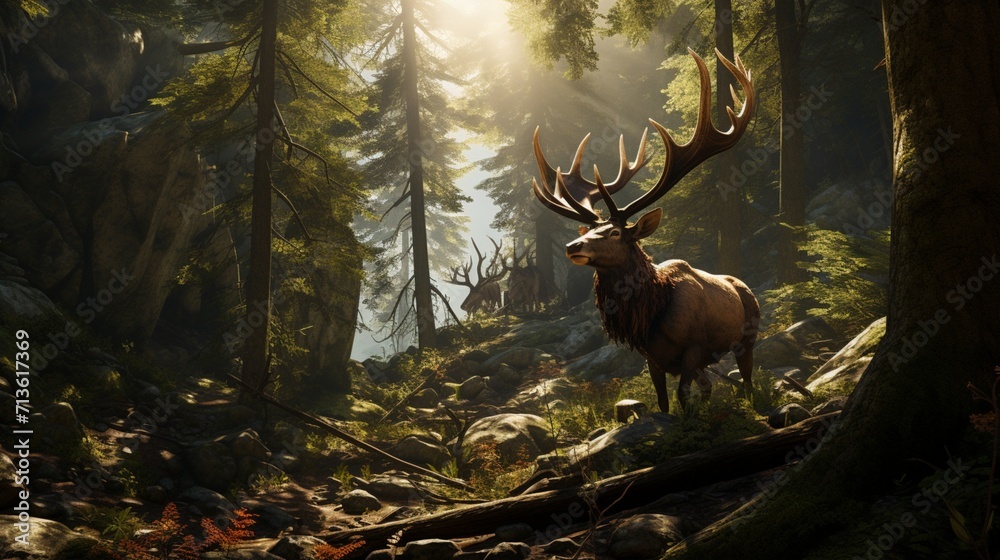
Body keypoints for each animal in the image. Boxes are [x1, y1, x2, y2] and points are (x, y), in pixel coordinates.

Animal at [531, 49, 759, 414]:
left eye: (615, 233)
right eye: (591, 229)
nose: (572, 246)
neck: (652, 315)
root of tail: (745, 286)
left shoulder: (694, 348)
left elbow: (682, 397)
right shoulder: (652, 358)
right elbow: (664, 403)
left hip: (748, 336)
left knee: (748, 379)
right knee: (710, 385)